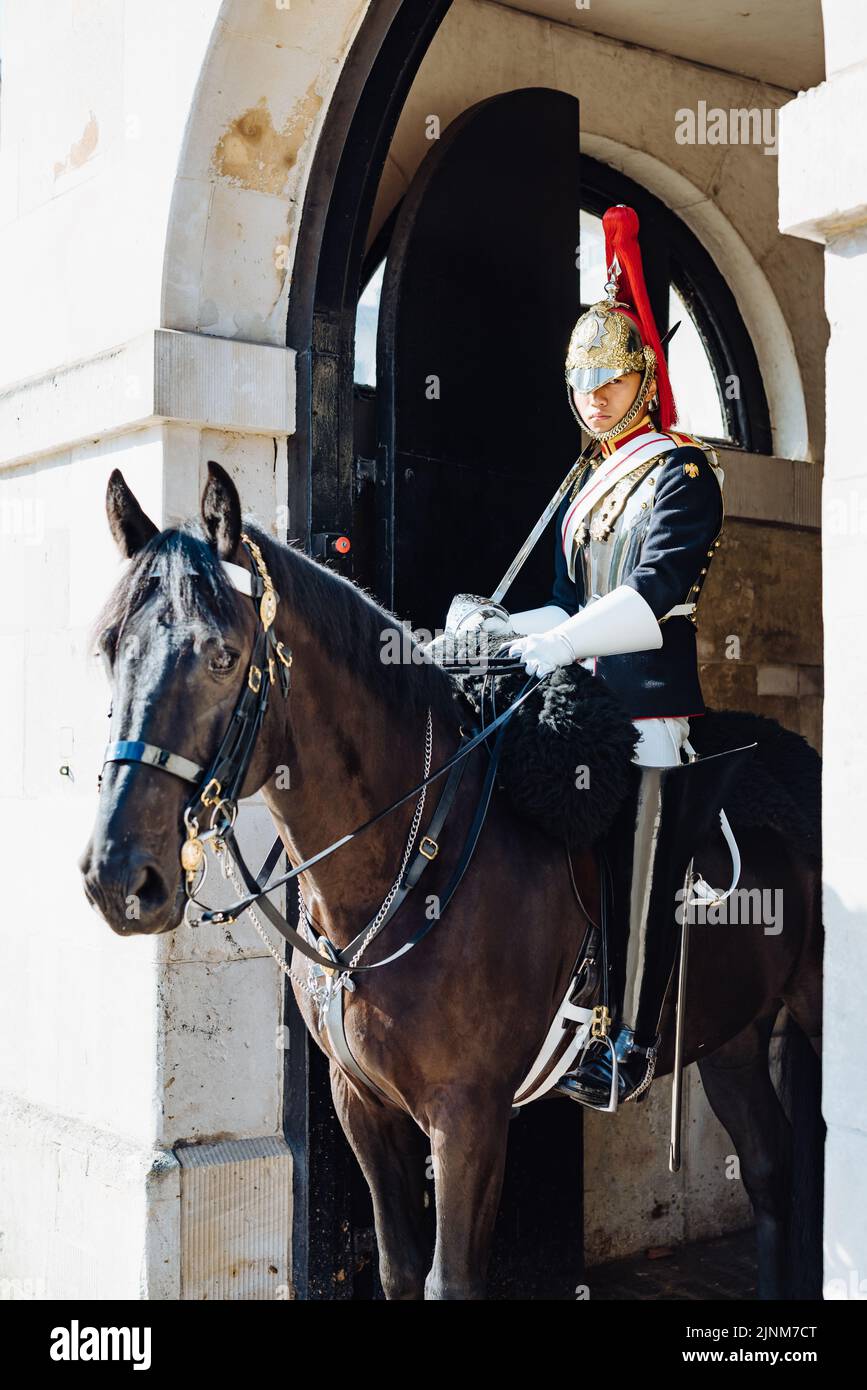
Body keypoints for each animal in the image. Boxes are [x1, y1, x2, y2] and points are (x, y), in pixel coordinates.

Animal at [80, 461, 824, 1301]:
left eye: (222, 654)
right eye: (109, 648)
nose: (119, 876)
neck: (396, 874)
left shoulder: (468, 1114)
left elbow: (451, 1279)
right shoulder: (361, 1104)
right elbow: (399, 1267)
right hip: (729, 1031)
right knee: (767, 1165)